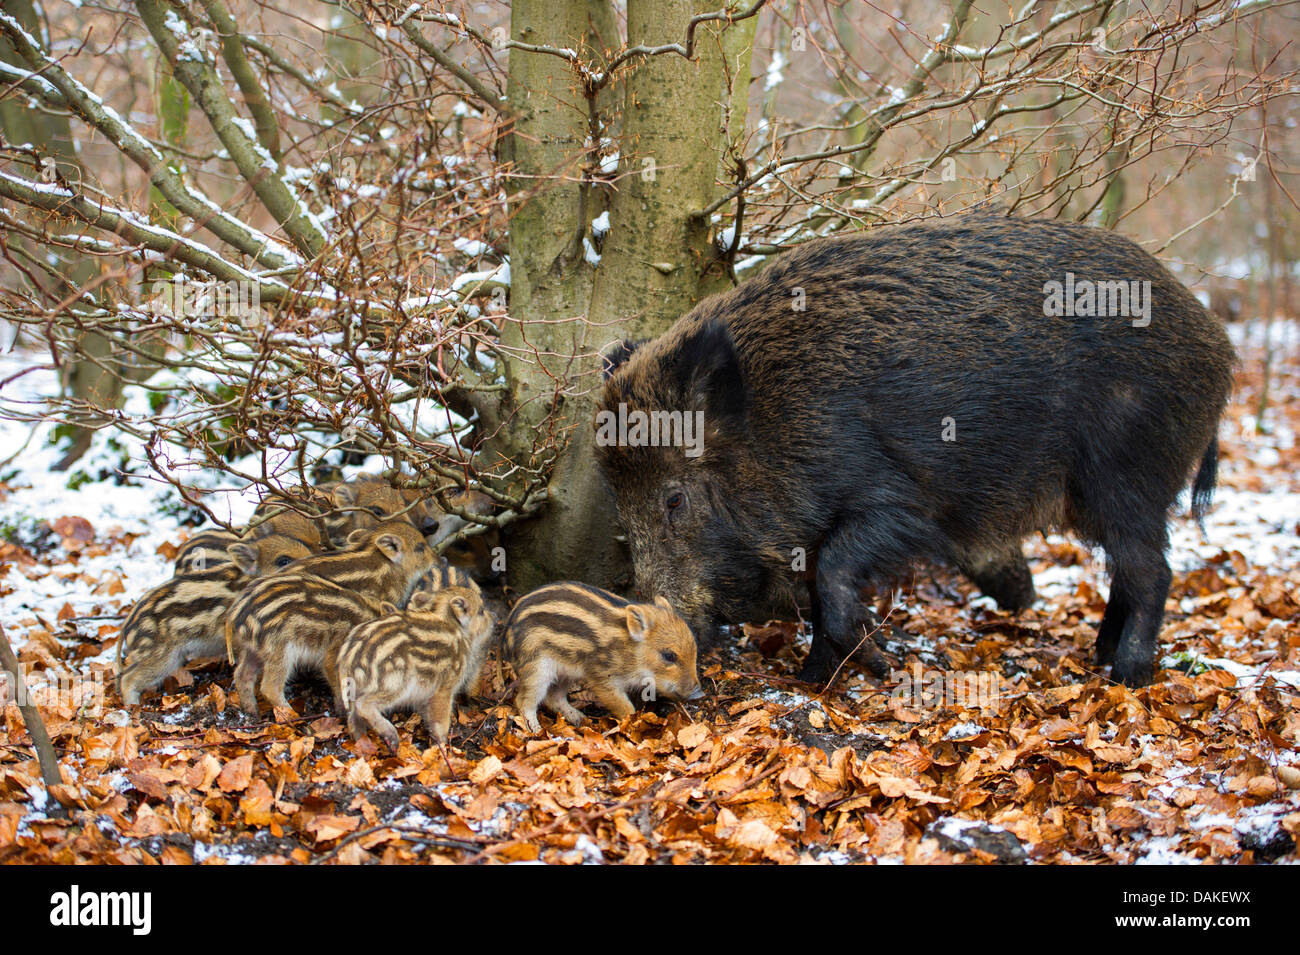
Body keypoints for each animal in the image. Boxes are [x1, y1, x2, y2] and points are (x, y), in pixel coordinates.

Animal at [597, 214, 1235, 687]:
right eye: (619, 503)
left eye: (674, 499)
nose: (651, 622)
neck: (774, 422)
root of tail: (1219, 346)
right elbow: (821, 588)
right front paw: (840, 670)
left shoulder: (900, 502)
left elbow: (832, 575)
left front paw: (846, 672)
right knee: (1129, 570)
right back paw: (1099, 656)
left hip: (1128, 476)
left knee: (1152, 571)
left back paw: (1125, 676)